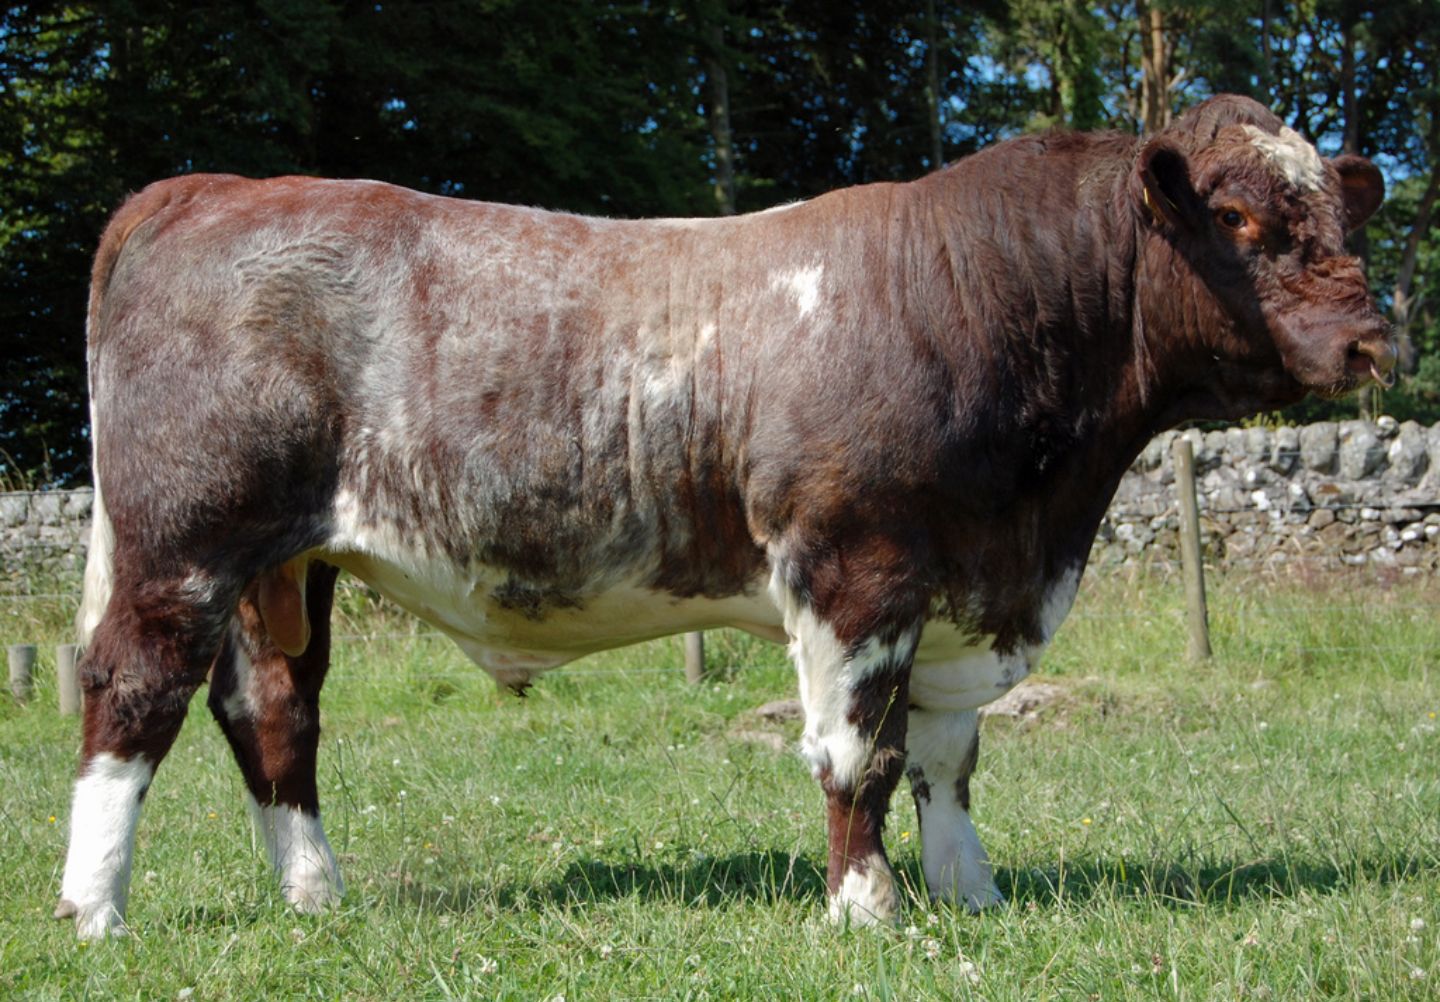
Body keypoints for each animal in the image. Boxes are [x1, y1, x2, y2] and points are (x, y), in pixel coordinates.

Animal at [58, 95, 1393, 938]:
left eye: (1342, 217)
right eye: (1237, 219)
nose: (1377, 337)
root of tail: (207, 188)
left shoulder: (969, 587)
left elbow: (948, 759)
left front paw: (972, 896)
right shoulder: (857, 565)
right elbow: (862, 752)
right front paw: (867, 910)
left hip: (287, 565)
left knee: (272, 713)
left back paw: (315, 898)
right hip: (186, 543)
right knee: (133, 693)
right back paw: (94, 911)